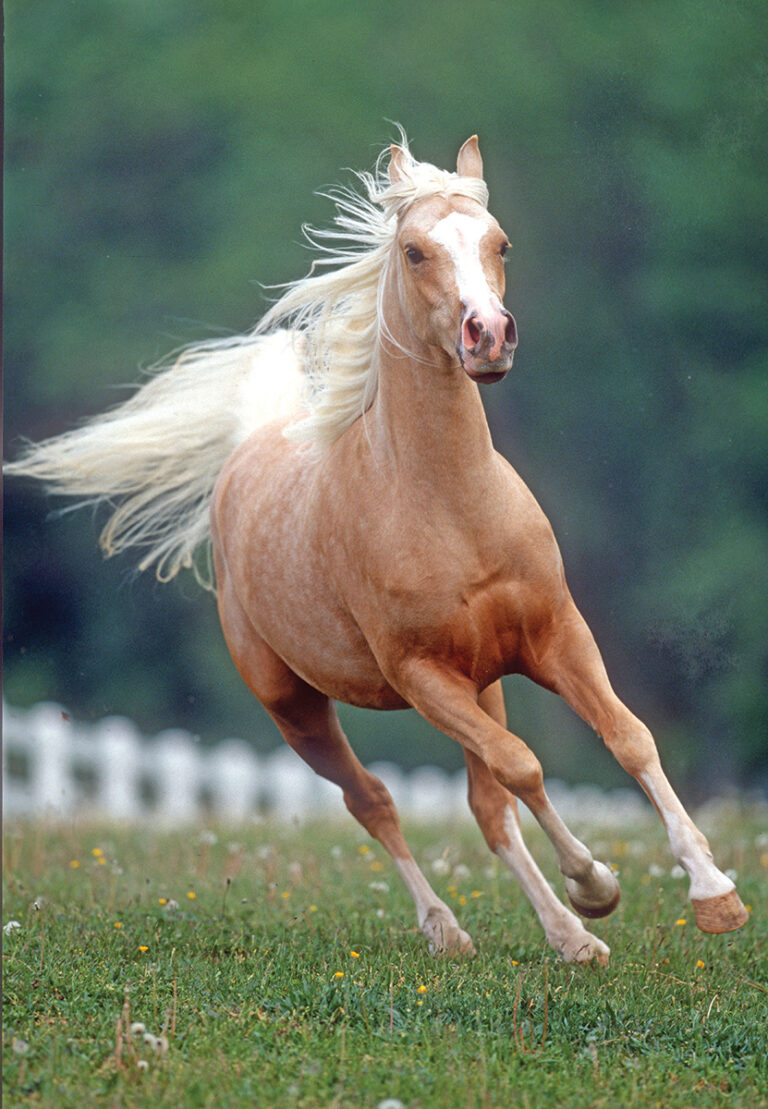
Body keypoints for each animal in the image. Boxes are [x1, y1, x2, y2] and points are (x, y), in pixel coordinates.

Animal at [6, 134, 748, 964]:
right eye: (415, 250)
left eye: (499, 243)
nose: (488, 335)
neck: (450, 506)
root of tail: (251, 441)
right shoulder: (421, 675)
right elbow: (523, 764)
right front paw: (597, 884)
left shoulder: (556, 634)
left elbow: (627, 739)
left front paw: (713, 894)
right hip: (298, 707)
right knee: (377, 800)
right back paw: (451, 928)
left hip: (482, 682)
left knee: (487, 806)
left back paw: (568, 938)